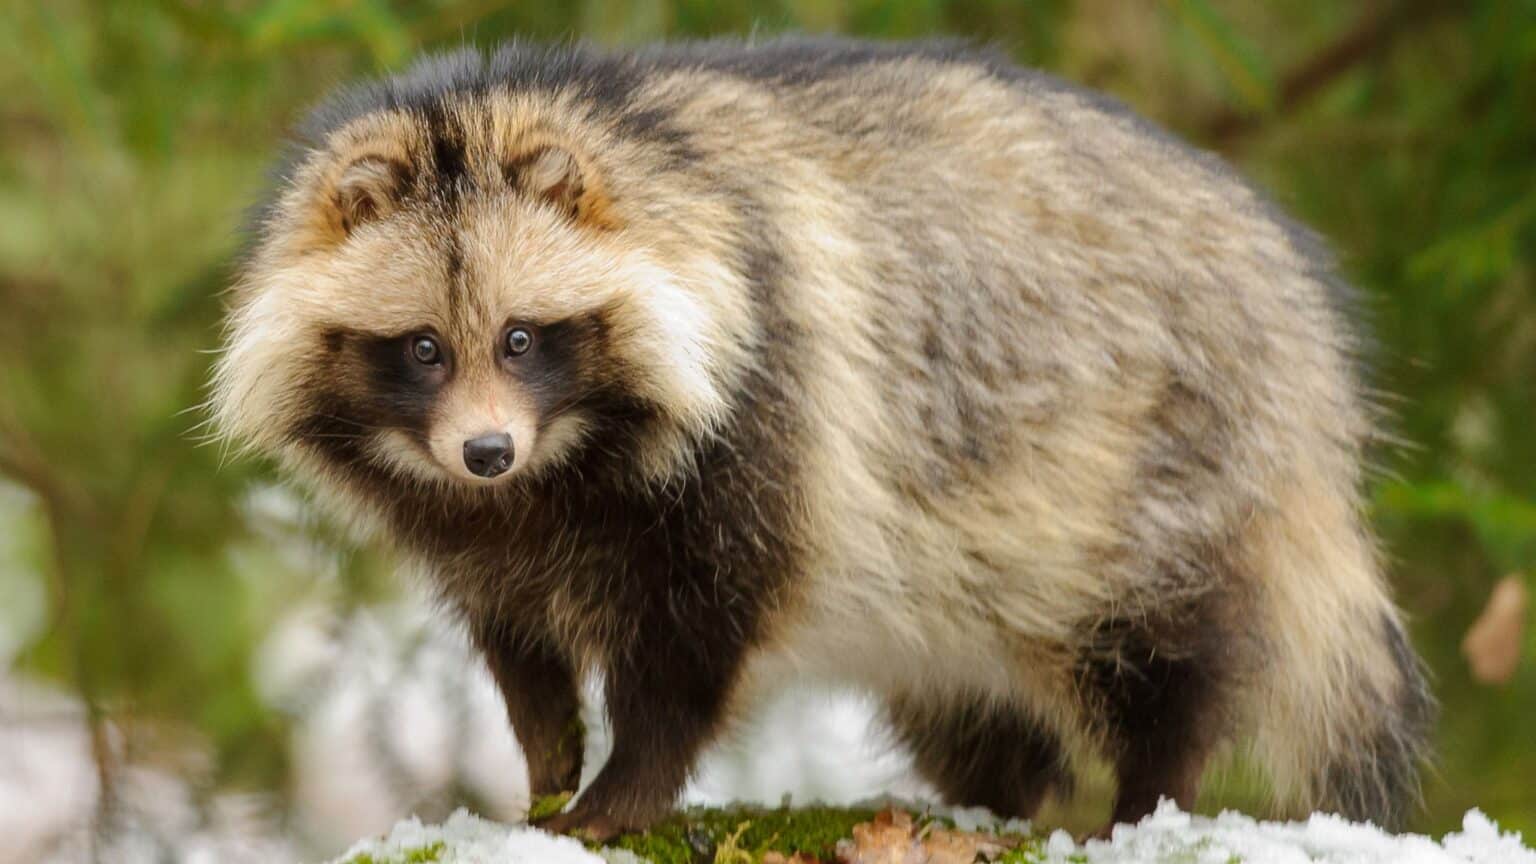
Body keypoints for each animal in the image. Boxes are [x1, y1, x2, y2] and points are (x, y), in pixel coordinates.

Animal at [211, 37, 1434, 838]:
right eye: (423, 349)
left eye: (521, 338)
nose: (484, 454)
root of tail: (1305, 325)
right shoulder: (476, 528)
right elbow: (519, 645)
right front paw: (548, 765)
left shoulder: (770, 401)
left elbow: (698, 633)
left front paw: (622, 786)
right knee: (973, 703)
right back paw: (994, 795)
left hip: (1158, 460)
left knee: (1166, 652)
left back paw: (1148, 796)